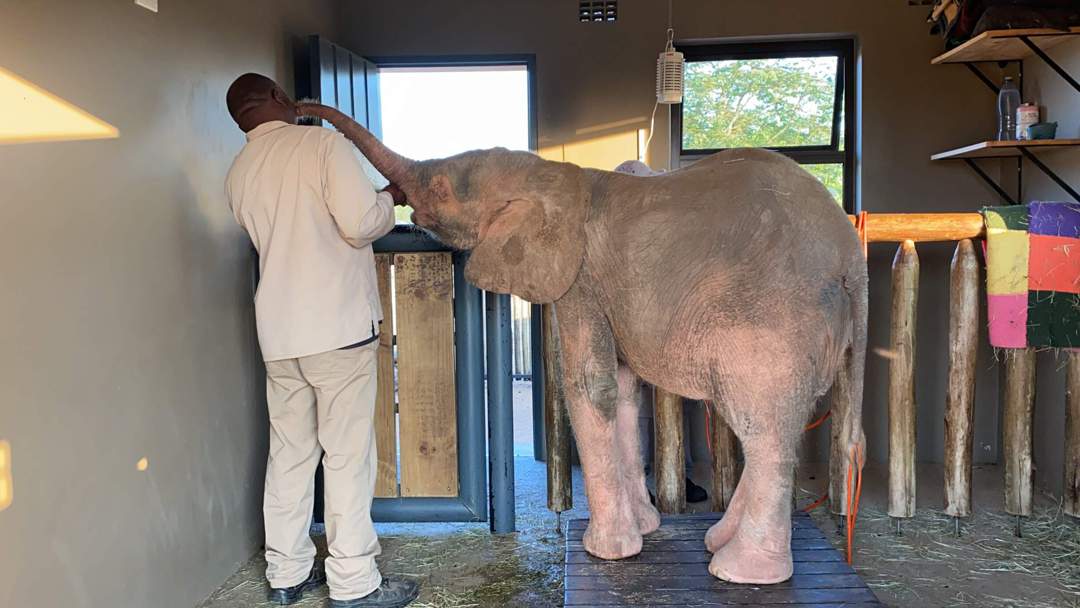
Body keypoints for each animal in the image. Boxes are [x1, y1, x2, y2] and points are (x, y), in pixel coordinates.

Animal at [297, 103, 868, 585]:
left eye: (439, 186)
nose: (301, 108)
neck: (550, 175)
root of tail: (852, 258)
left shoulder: (579, 278)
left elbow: (589, 387)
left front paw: (607, 551)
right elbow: (624, 390)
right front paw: (645, 529)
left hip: (772, 322)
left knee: (761, 428)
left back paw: (741, 572)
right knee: (773, 424)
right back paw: (717, 541)